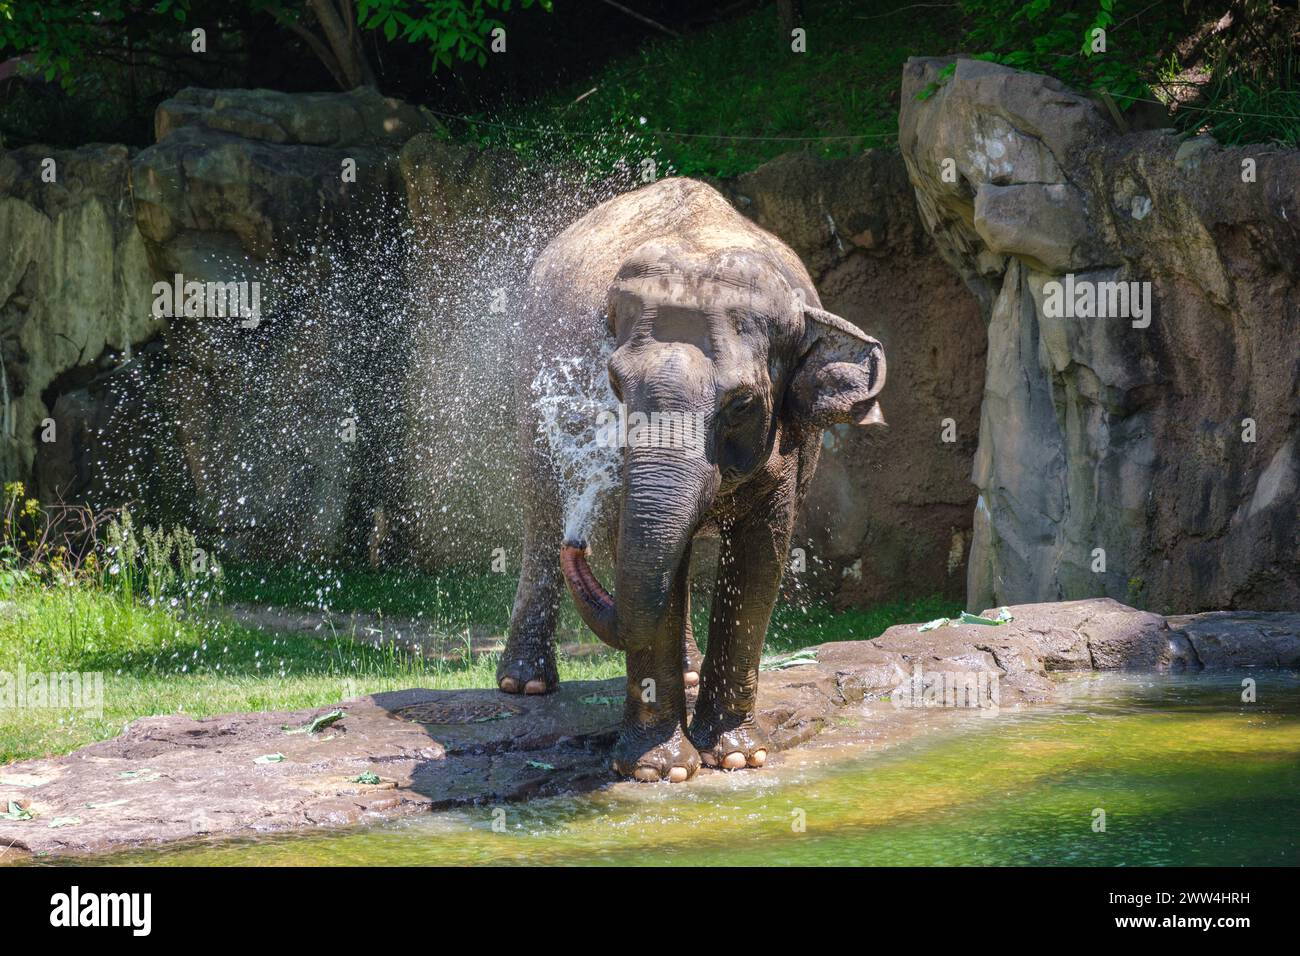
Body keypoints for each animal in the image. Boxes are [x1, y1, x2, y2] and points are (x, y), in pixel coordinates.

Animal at [498, 177, 886, 782]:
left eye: (742, 402)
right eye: (613, 384)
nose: (577, 547)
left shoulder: (792, 437)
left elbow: (759, 556)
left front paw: (737, 757)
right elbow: (644, 550)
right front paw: (660, 771)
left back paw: (686, 674)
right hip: (528, 386)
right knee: (543, 514)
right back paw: (526, 684)